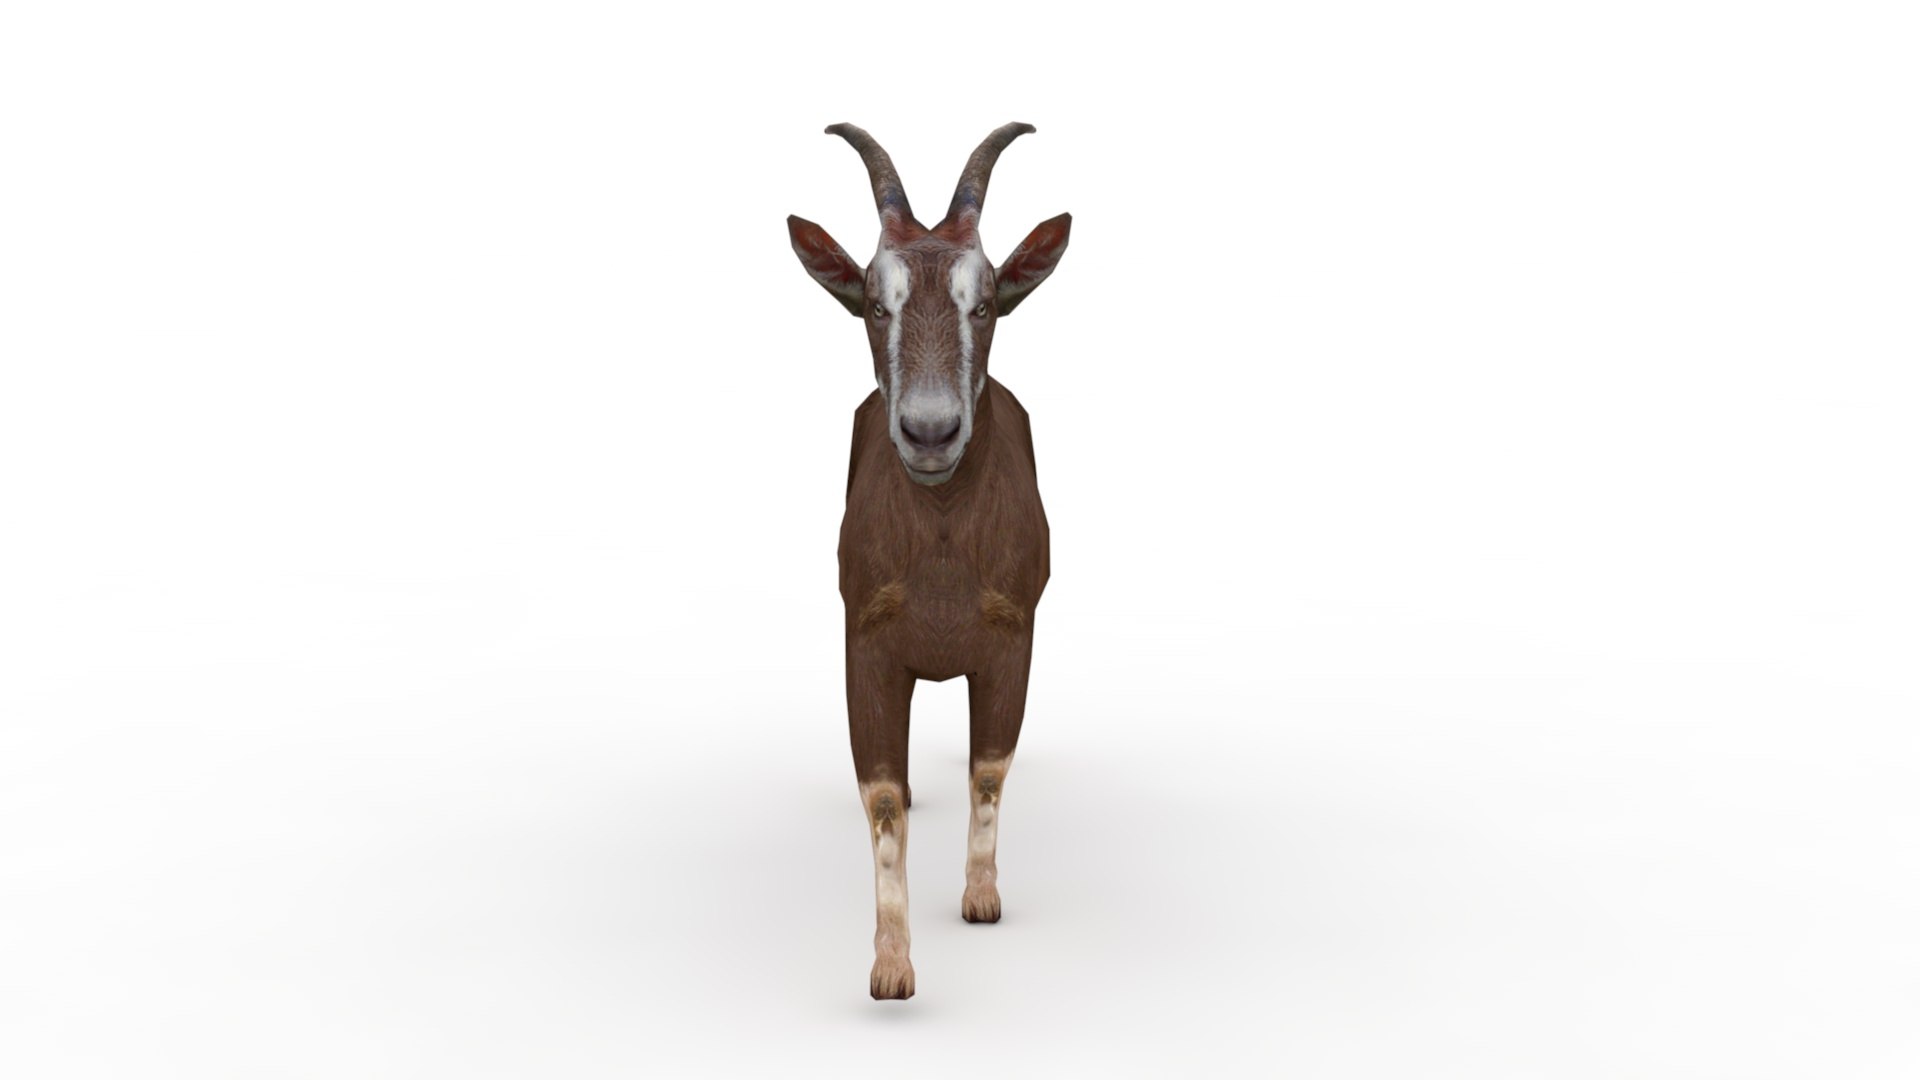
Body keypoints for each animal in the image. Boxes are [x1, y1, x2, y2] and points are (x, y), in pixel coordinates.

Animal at [788, 122, 1071, 999]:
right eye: (876, 303)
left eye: (984, 302)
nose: (931, 431)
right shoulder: (867, 648)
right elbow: (881, 801)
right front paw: (890, 966)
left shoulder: (1013, 643)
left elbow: (987, 772)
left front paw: (980, 898)